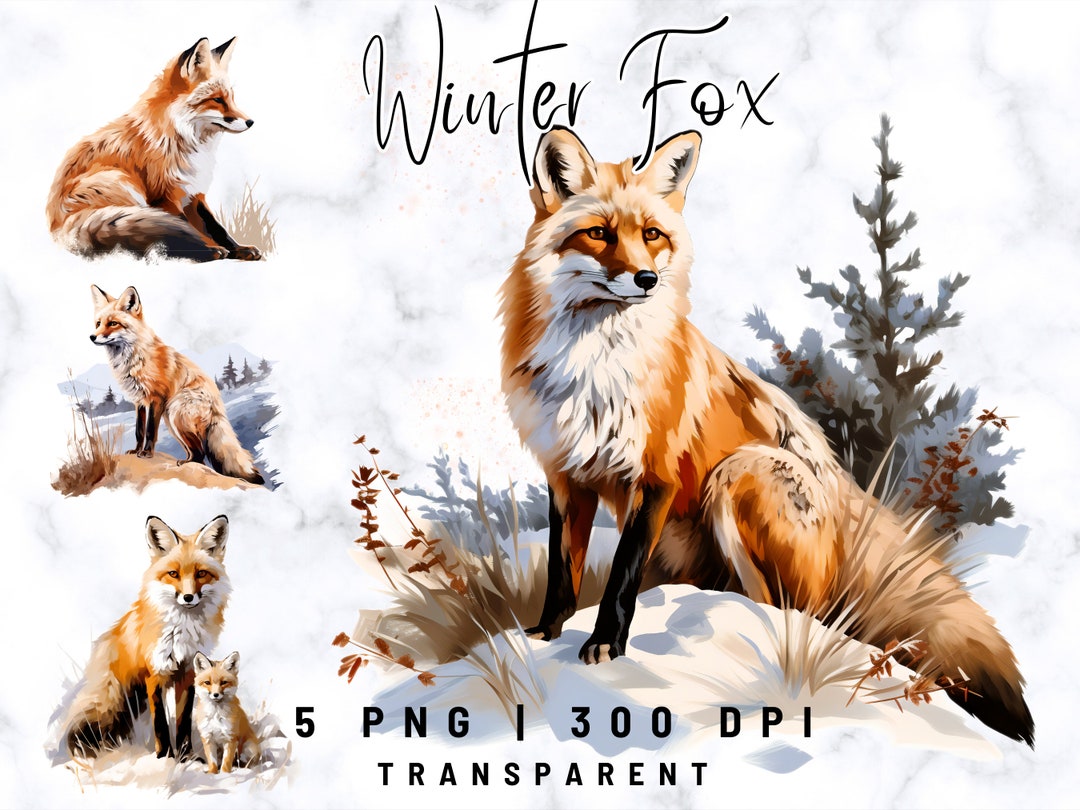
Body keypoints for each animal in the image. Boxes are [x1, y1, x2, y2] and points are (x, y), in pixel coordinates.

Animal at [47, 37, 262, 262]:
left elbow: (217, 228)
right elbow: (186, 226)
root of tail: (58, 230)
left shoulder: (194, 193)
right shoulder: (165, 195)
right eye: (217, 99)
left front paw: (239, 249)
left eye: (232, 98)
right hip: (122, 183)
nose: (251, 122)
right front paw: (209, 249)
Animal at [65, 515, 231, 760]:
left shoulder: (187, 673)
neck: (181, 631)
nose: (188, 597)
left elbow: (183, 721)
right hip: (117, 698)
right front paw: (165, 756)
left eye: (201, 573)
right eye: (173, 574)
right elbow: (160, 722)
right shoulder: (156, 673)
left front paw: (187, 757)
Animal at [90, 284, 265, 485]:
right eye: (98, 323)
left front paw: (146, 453)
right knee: (198, 454)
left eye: (113, 323)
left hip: (175, 415)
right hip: (172, 421)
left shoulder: (155, 398)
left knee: (201, 453)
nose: (92, 337)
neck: (133, 359)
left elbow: (149, 432)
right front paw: (136, 451)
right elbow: (139, 431)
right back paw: (186, 462)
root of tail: (218, 405)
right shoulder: (139, 401)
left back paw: (186, 464)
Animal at [499, 126, 1034, 746]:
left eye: (652, 235)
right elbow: (564, 572)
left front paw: (606, 645)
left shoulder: (655, 476)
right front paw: (545, 634)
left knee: (793, 615)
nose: (647, 280)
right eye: (599, 233)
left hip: (740, 474)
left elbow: (620, 578)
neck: (593, 368)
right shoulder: (567, 473)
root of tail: (838, 492)